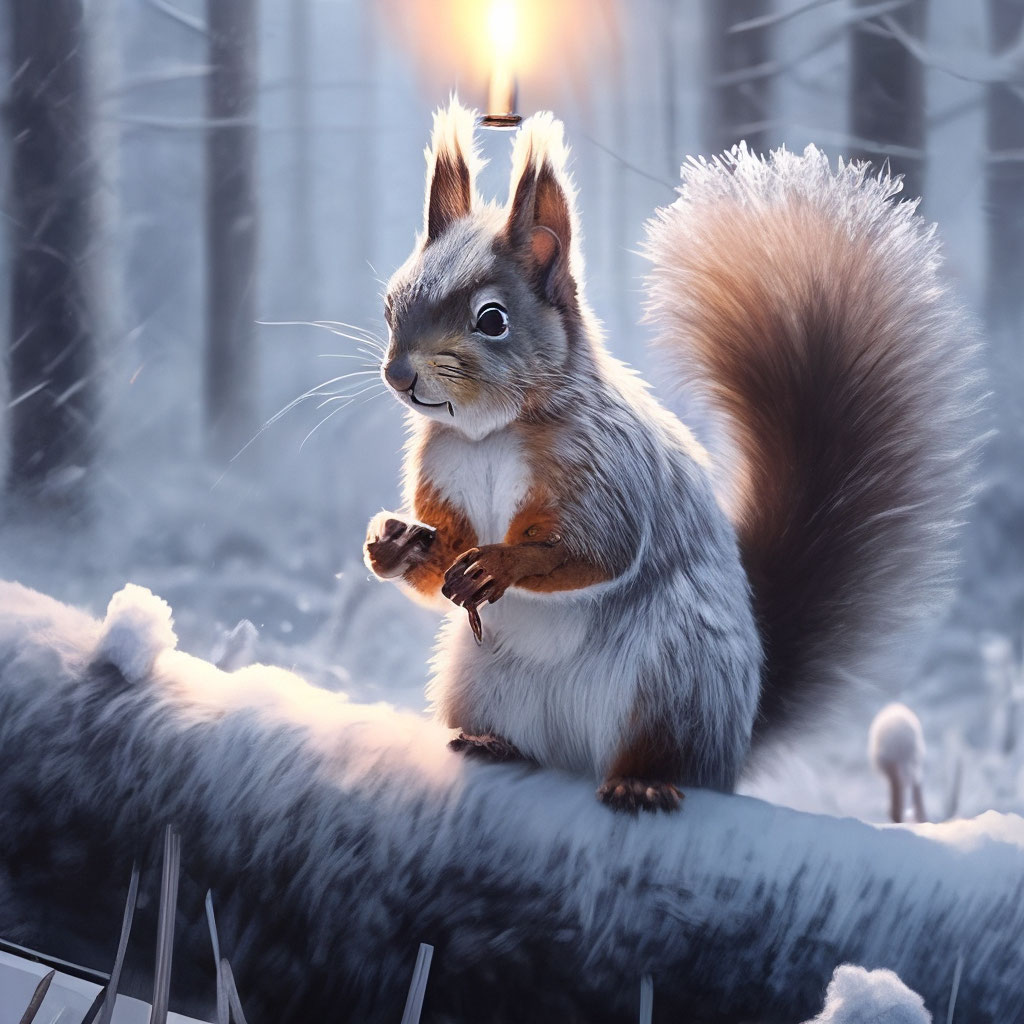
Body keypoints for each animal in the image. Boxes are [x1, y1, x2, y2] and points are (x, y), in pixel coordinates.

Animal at [363, 99, 978, 813]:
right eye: (392, 303)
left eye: (492, 320)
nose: (399, 375)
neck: (489, 436)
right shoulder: (443, 476)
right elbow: (443, 557)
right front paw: (391, 544)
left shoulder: (605, 467)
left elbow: (600, 549)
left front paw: (500, 562)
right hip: (478, 678)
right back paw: (495, 742)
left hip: (674, 678)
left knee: (659, 747)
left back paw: (643, 781)